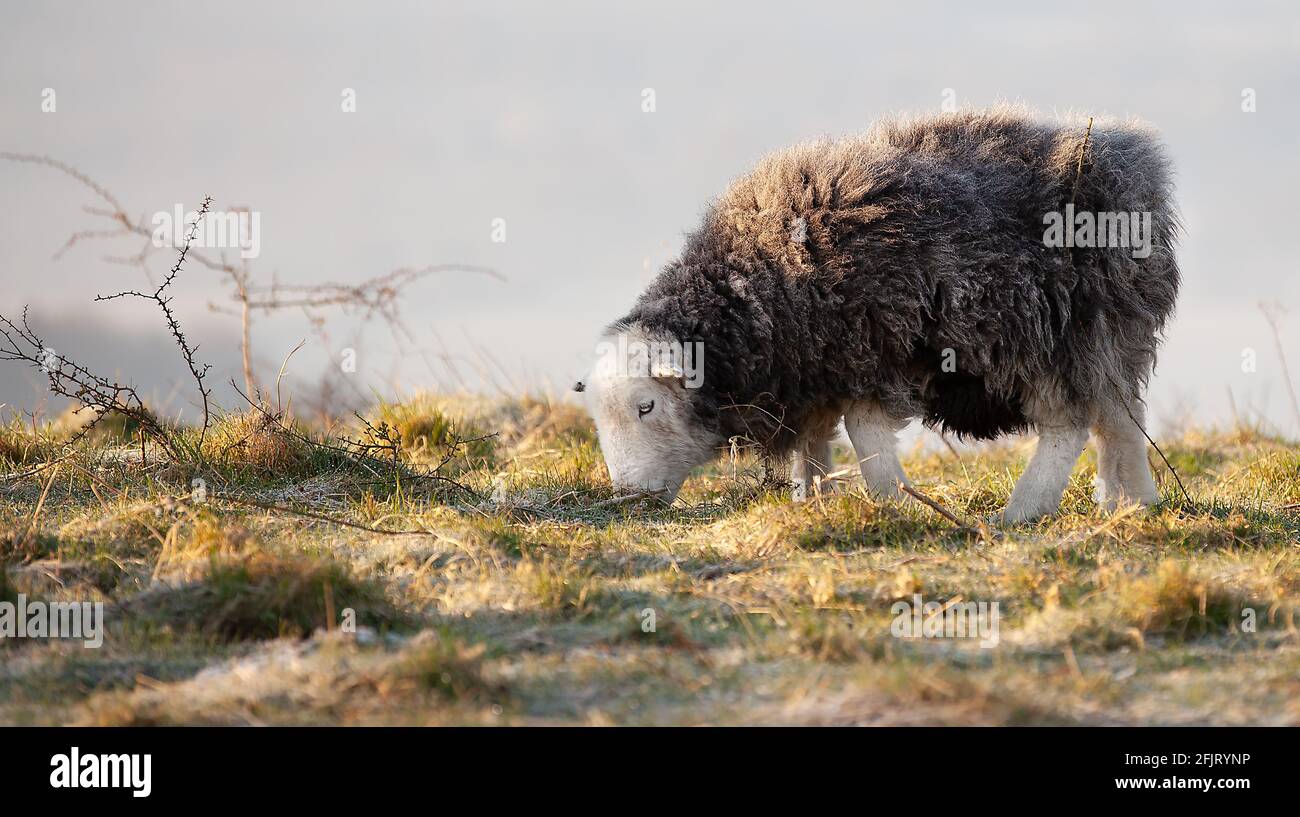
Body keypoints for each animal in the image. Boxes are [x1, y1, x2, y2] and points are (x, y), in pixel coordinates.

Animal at [577, 106, 1180, 522]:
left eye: (647, 406)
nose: (629, 498)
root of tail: (1134, 161)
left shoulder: (877, 349)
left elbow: (862, 431)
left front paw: (894, 500)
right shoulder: (814, 373)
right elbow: (813, 444)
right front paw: (813, 499)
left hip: (1059, 333)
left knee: (1070, 423)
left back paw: (1024, 510)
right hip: (1111, 340)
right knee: (1120, 417)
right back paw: (1131, 502)